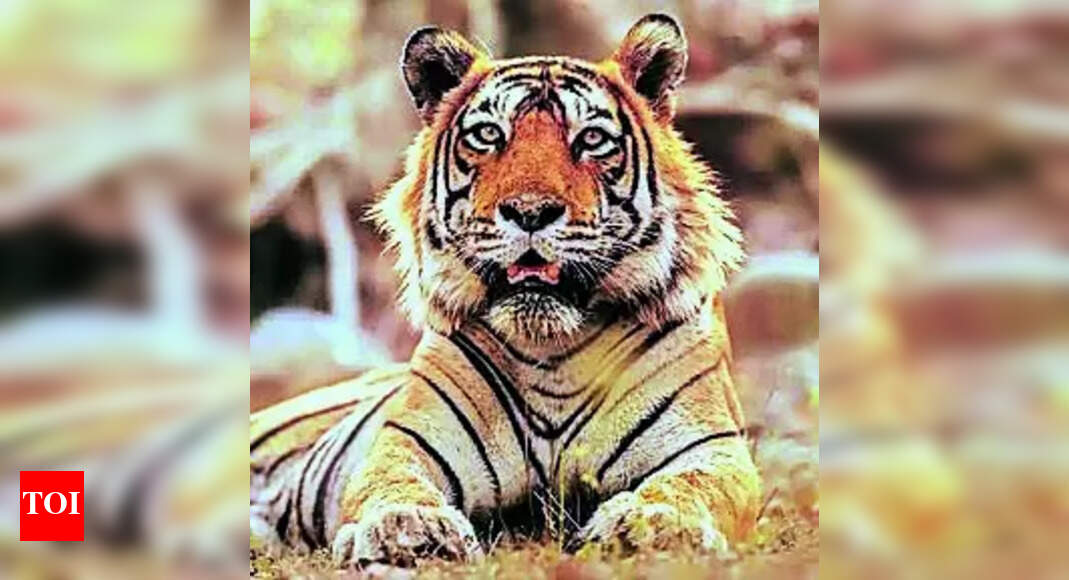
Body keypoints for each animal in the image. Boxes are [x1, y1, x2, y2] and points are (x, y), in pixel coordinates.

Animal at [250, 14, 761, 566]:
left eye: (591, 139)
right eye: (488, 135)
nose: (530, 212)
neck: (554, 354)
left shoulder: (710, 447)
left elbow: (690, 486)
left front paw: (651, 522)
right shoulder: (408, 442)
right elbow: (391, 483)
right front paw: (404, 526)